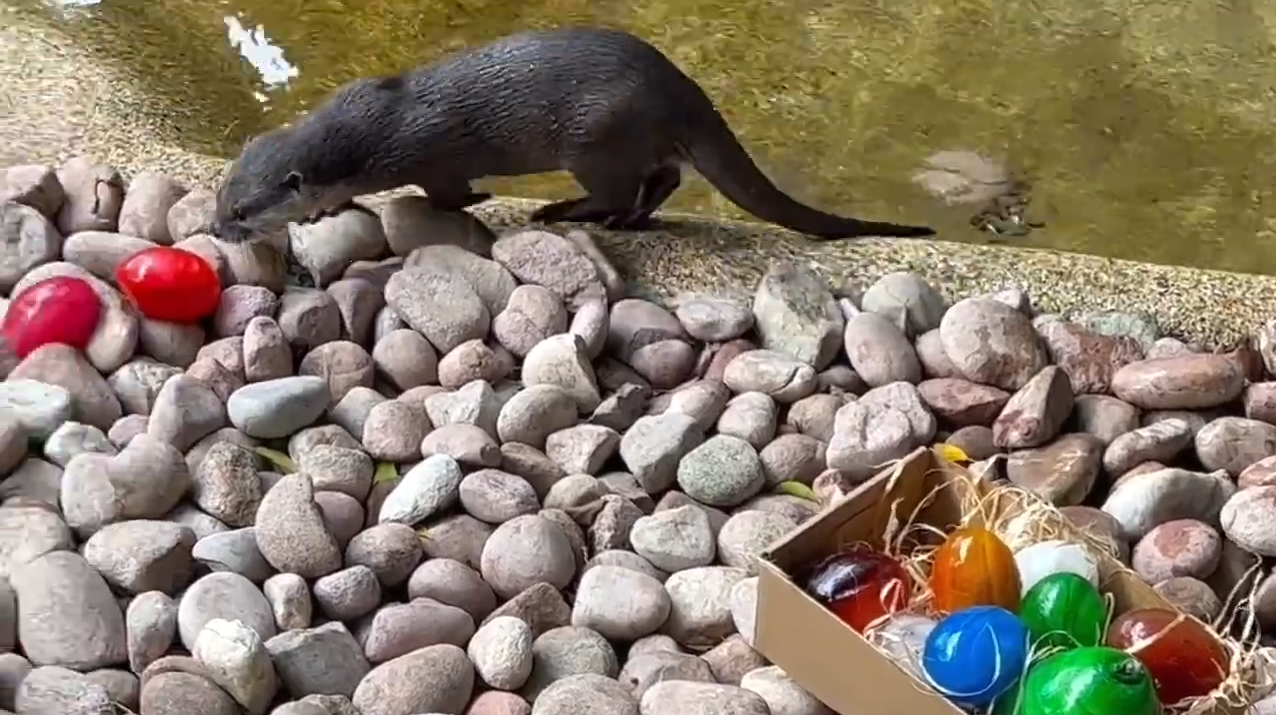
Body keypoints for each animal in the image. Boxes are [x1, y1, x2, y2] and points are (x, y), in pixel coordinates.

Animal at [210, 26, 935, 242]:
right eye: (223, 197)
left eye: (242, 211)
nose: (216, 232)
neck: (373, 127)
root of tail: (681, 87)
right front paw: (324, 211)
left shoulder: (427, 155)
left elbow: (451, 194)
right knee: (664, 177)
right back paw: (628, 220)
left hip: (593, 137)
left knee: (625, 185)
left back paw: (566, 212)